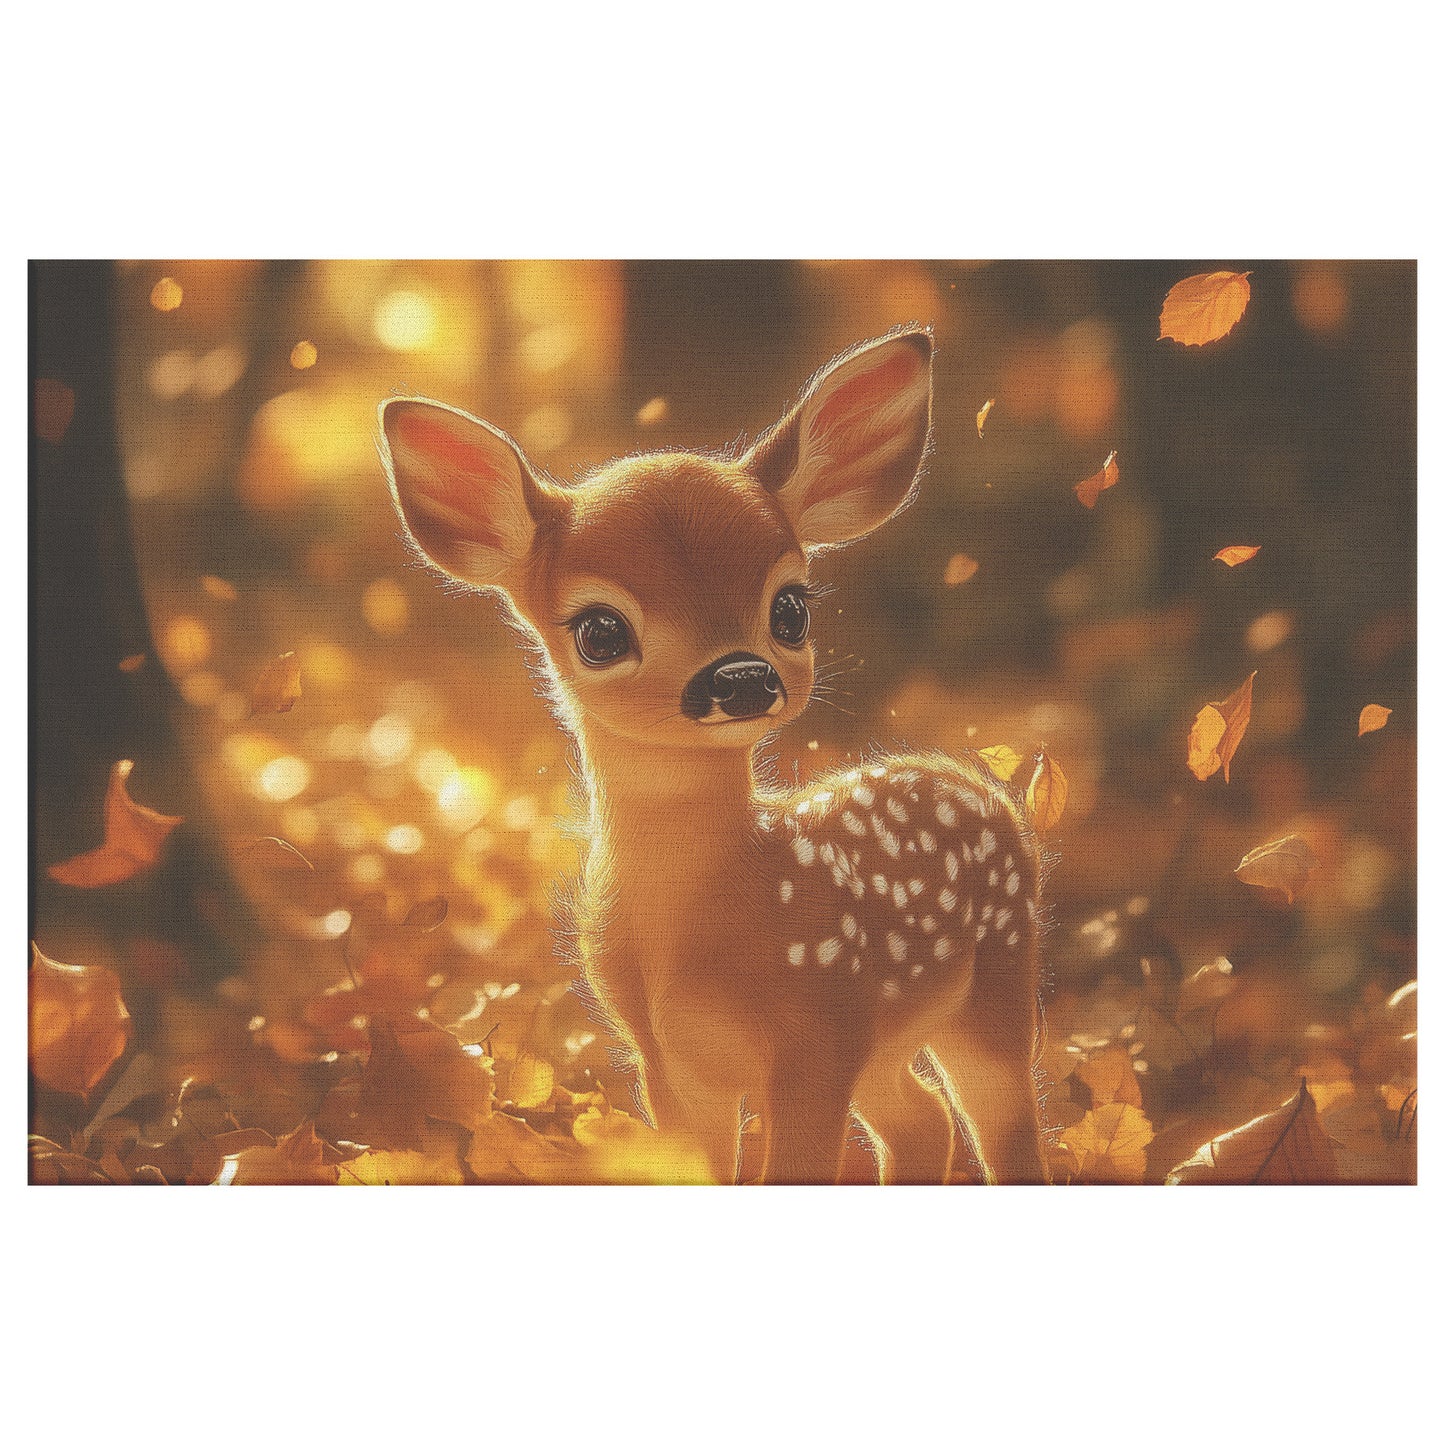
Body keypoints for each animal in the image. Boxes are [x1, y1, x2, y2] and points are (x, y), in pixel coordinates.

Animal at [378, 325, 1050, 1184]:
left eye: (790, 608)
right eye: (600, 631)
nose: (740, 677)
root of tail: (977, 784)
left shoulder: (820, 1028)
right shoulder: (664, 1062)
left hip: (994, 981)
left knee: (1000, 1120)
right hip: (892, 1039)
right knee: (924, 1119)